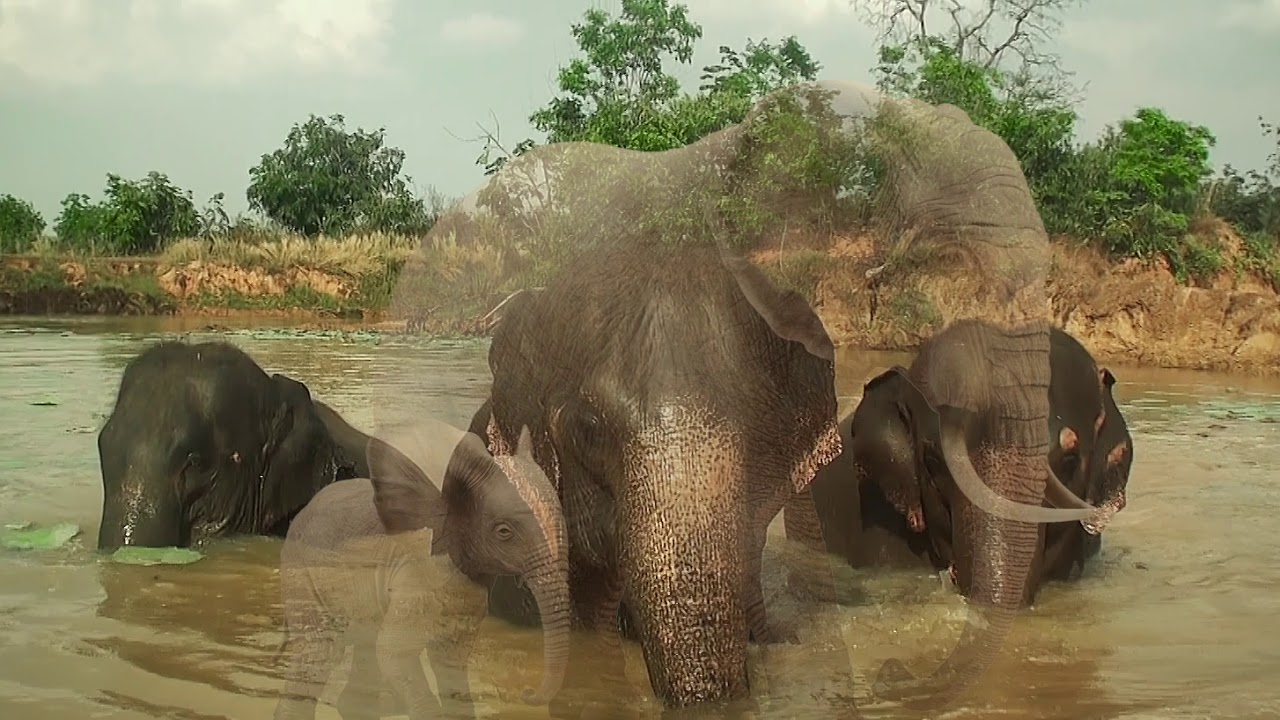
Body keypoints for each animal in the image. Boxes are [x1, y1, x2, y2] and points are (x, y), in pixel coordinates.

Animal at [274, 420, 569, 720]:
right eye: (504, 532)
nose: (528, 694)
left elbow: (451, 661)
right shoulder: (419, 573)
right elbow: (394, 652)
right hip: (300, 573)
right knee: (322, 650)